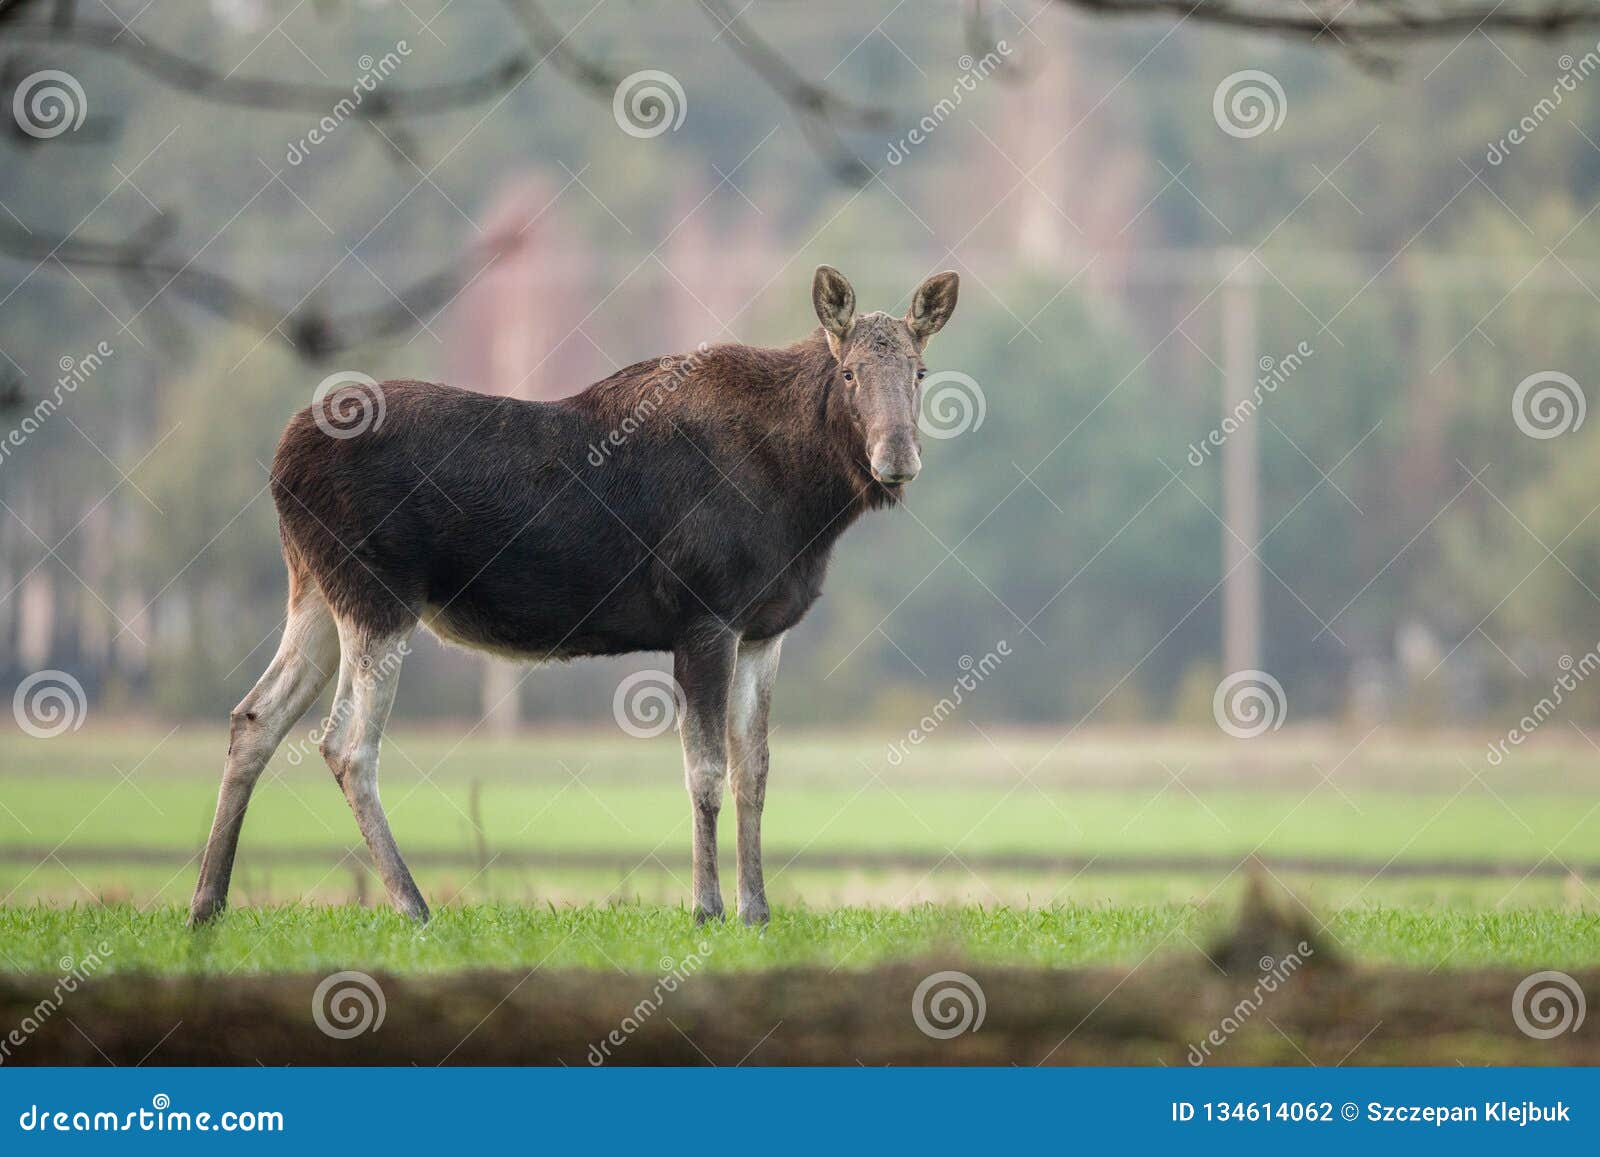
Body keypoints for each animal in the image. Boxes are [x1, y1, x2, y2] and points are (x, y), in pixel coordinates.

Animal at [188, 264, 959, 927]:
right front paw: (707, 907)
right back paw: (412, 906)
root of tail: (280, 463)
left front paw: (758, 910)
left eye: (920, 372)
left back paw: (207, 902)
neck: (806, 507)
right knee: (346, 744)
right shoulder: (705, 614)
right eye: (850, 371)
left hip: (316, 592)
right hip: (377, 593)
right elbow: (706, 770)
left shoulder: (765, 628)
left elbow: (756, 770)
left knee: (254, 716)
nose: (897, 457)